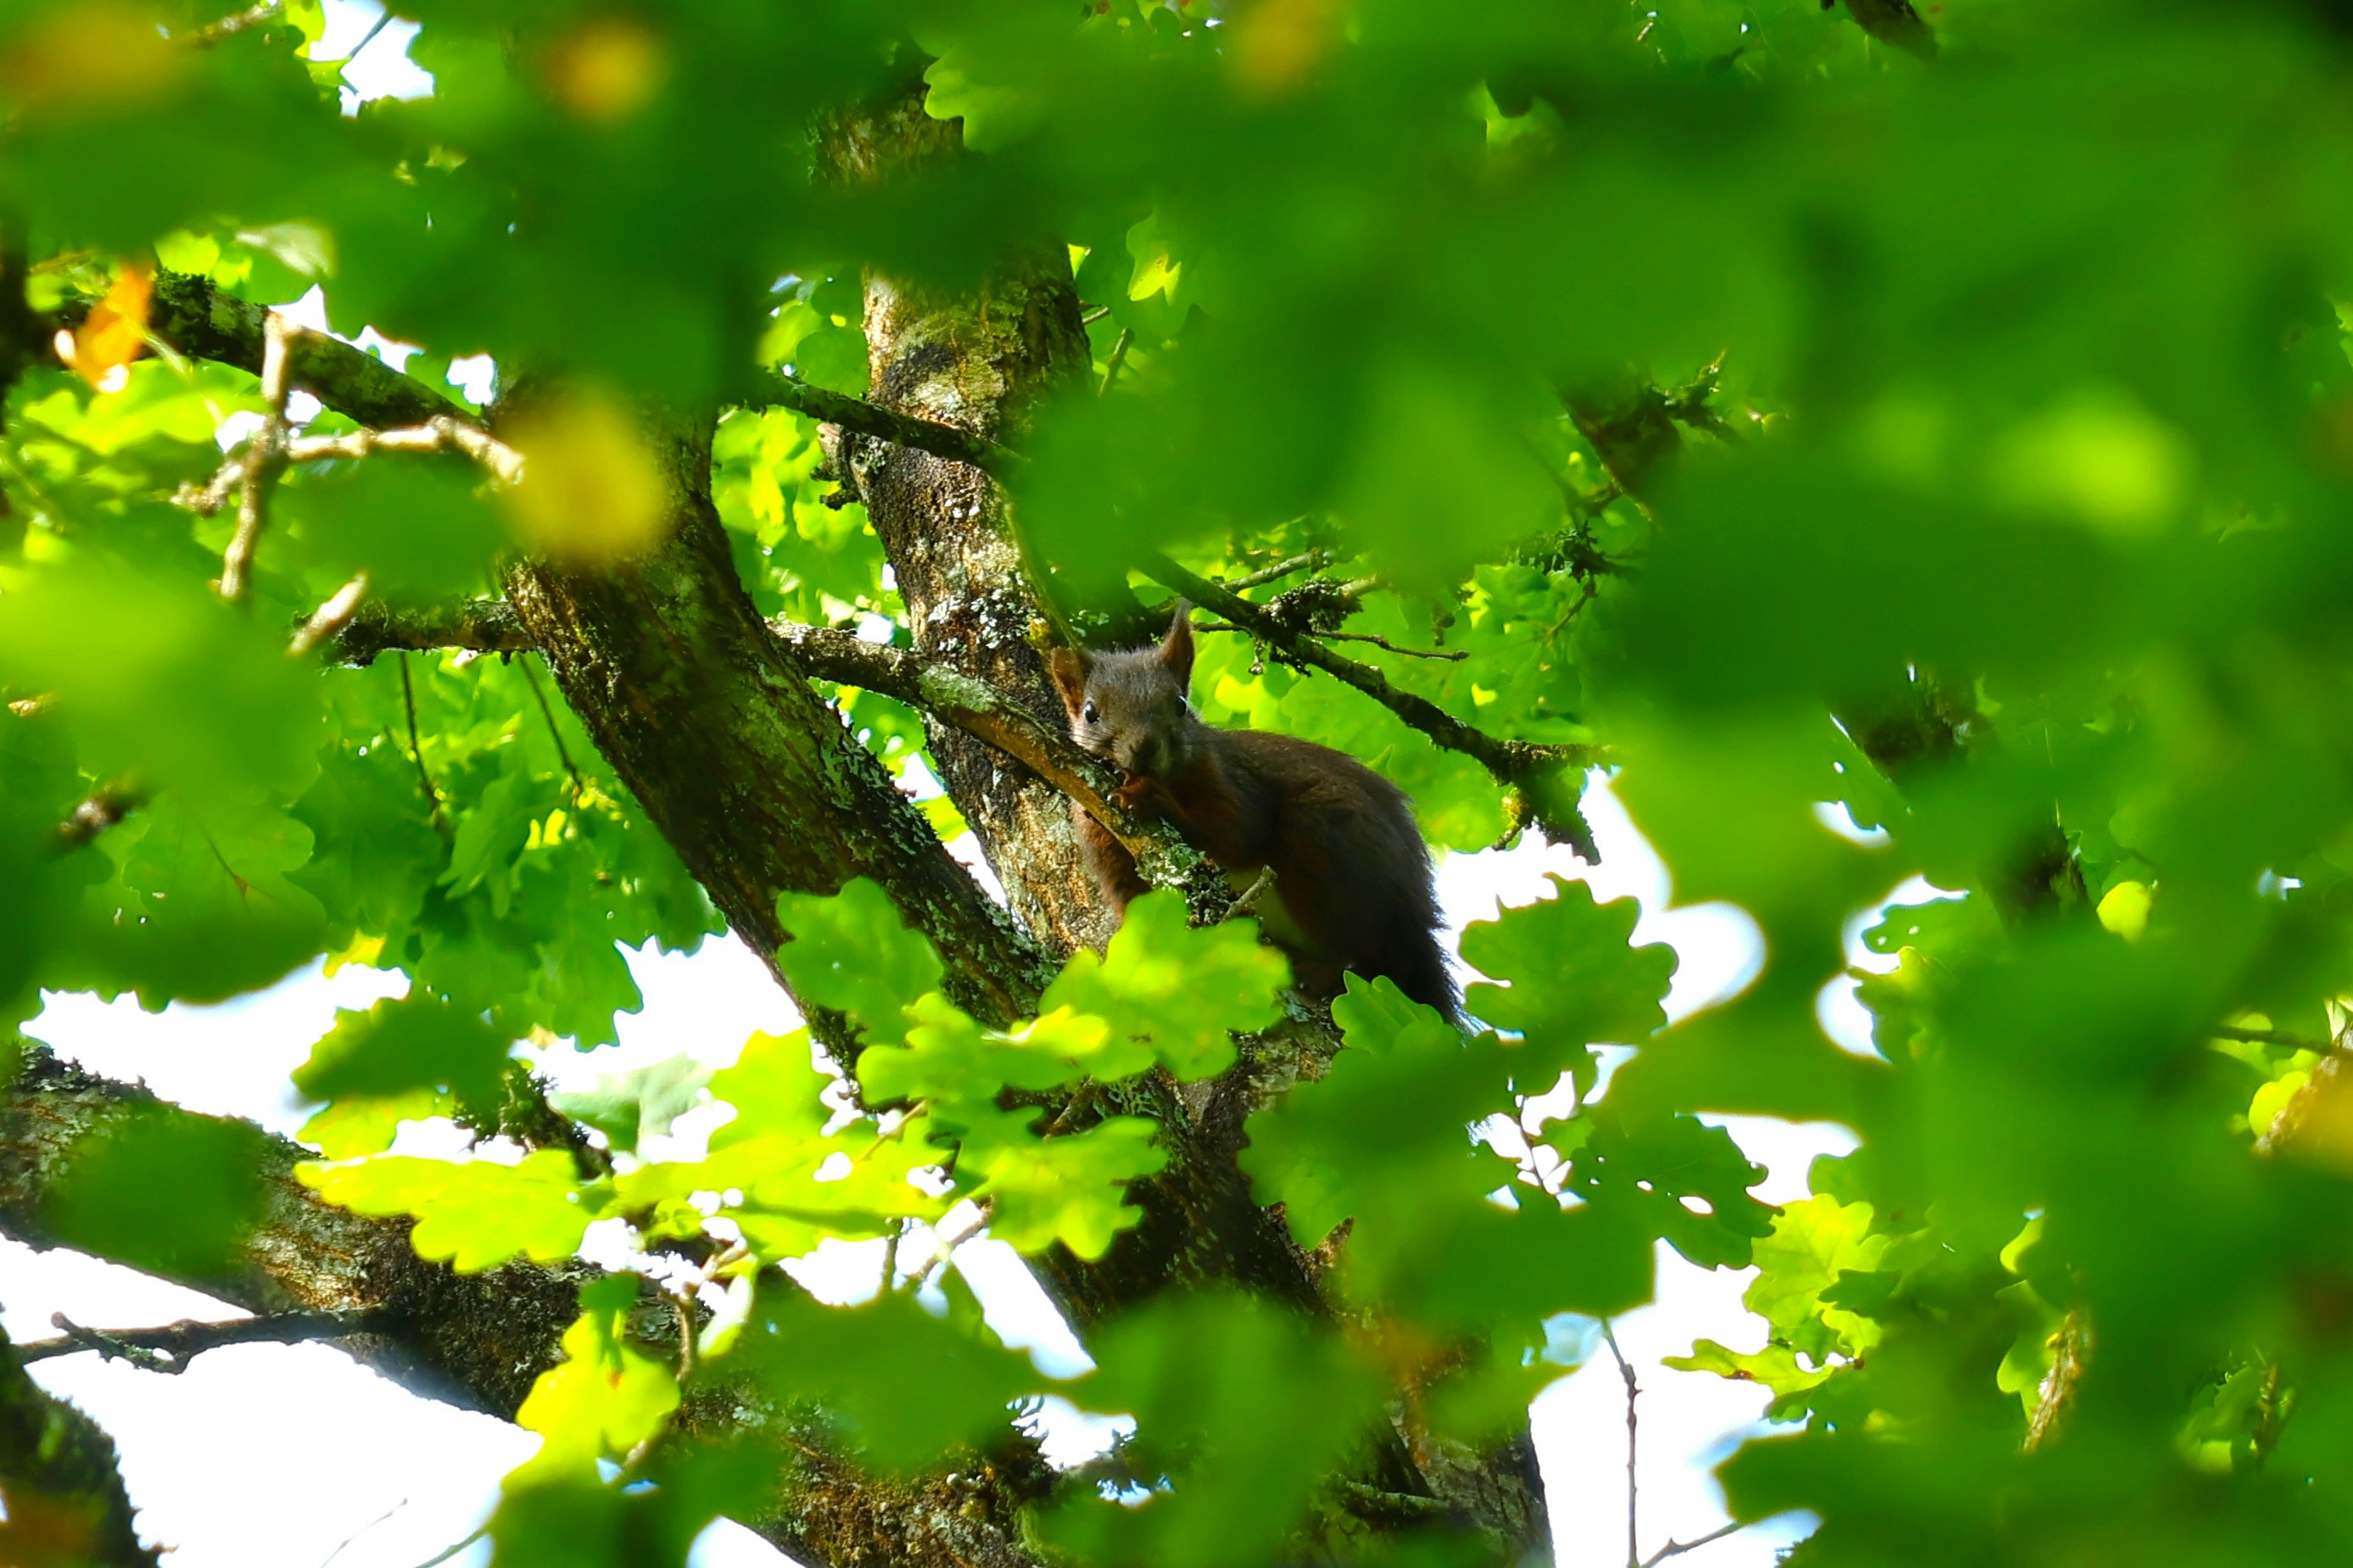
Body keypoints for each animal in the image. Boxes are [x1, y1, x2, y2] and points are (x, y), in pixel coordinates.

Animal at [1047, 604, 1459, 1020]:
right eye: (1090, 712)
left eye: (1180, 704)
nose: (1144, 749)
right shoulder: (1100, 843)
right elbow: (1134, 902)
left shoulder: (1230, 779)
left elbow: (1238, 832)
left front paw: (1154, 797)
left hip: (1331, 839)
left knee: (1370, 952)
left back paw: (1322, 972)